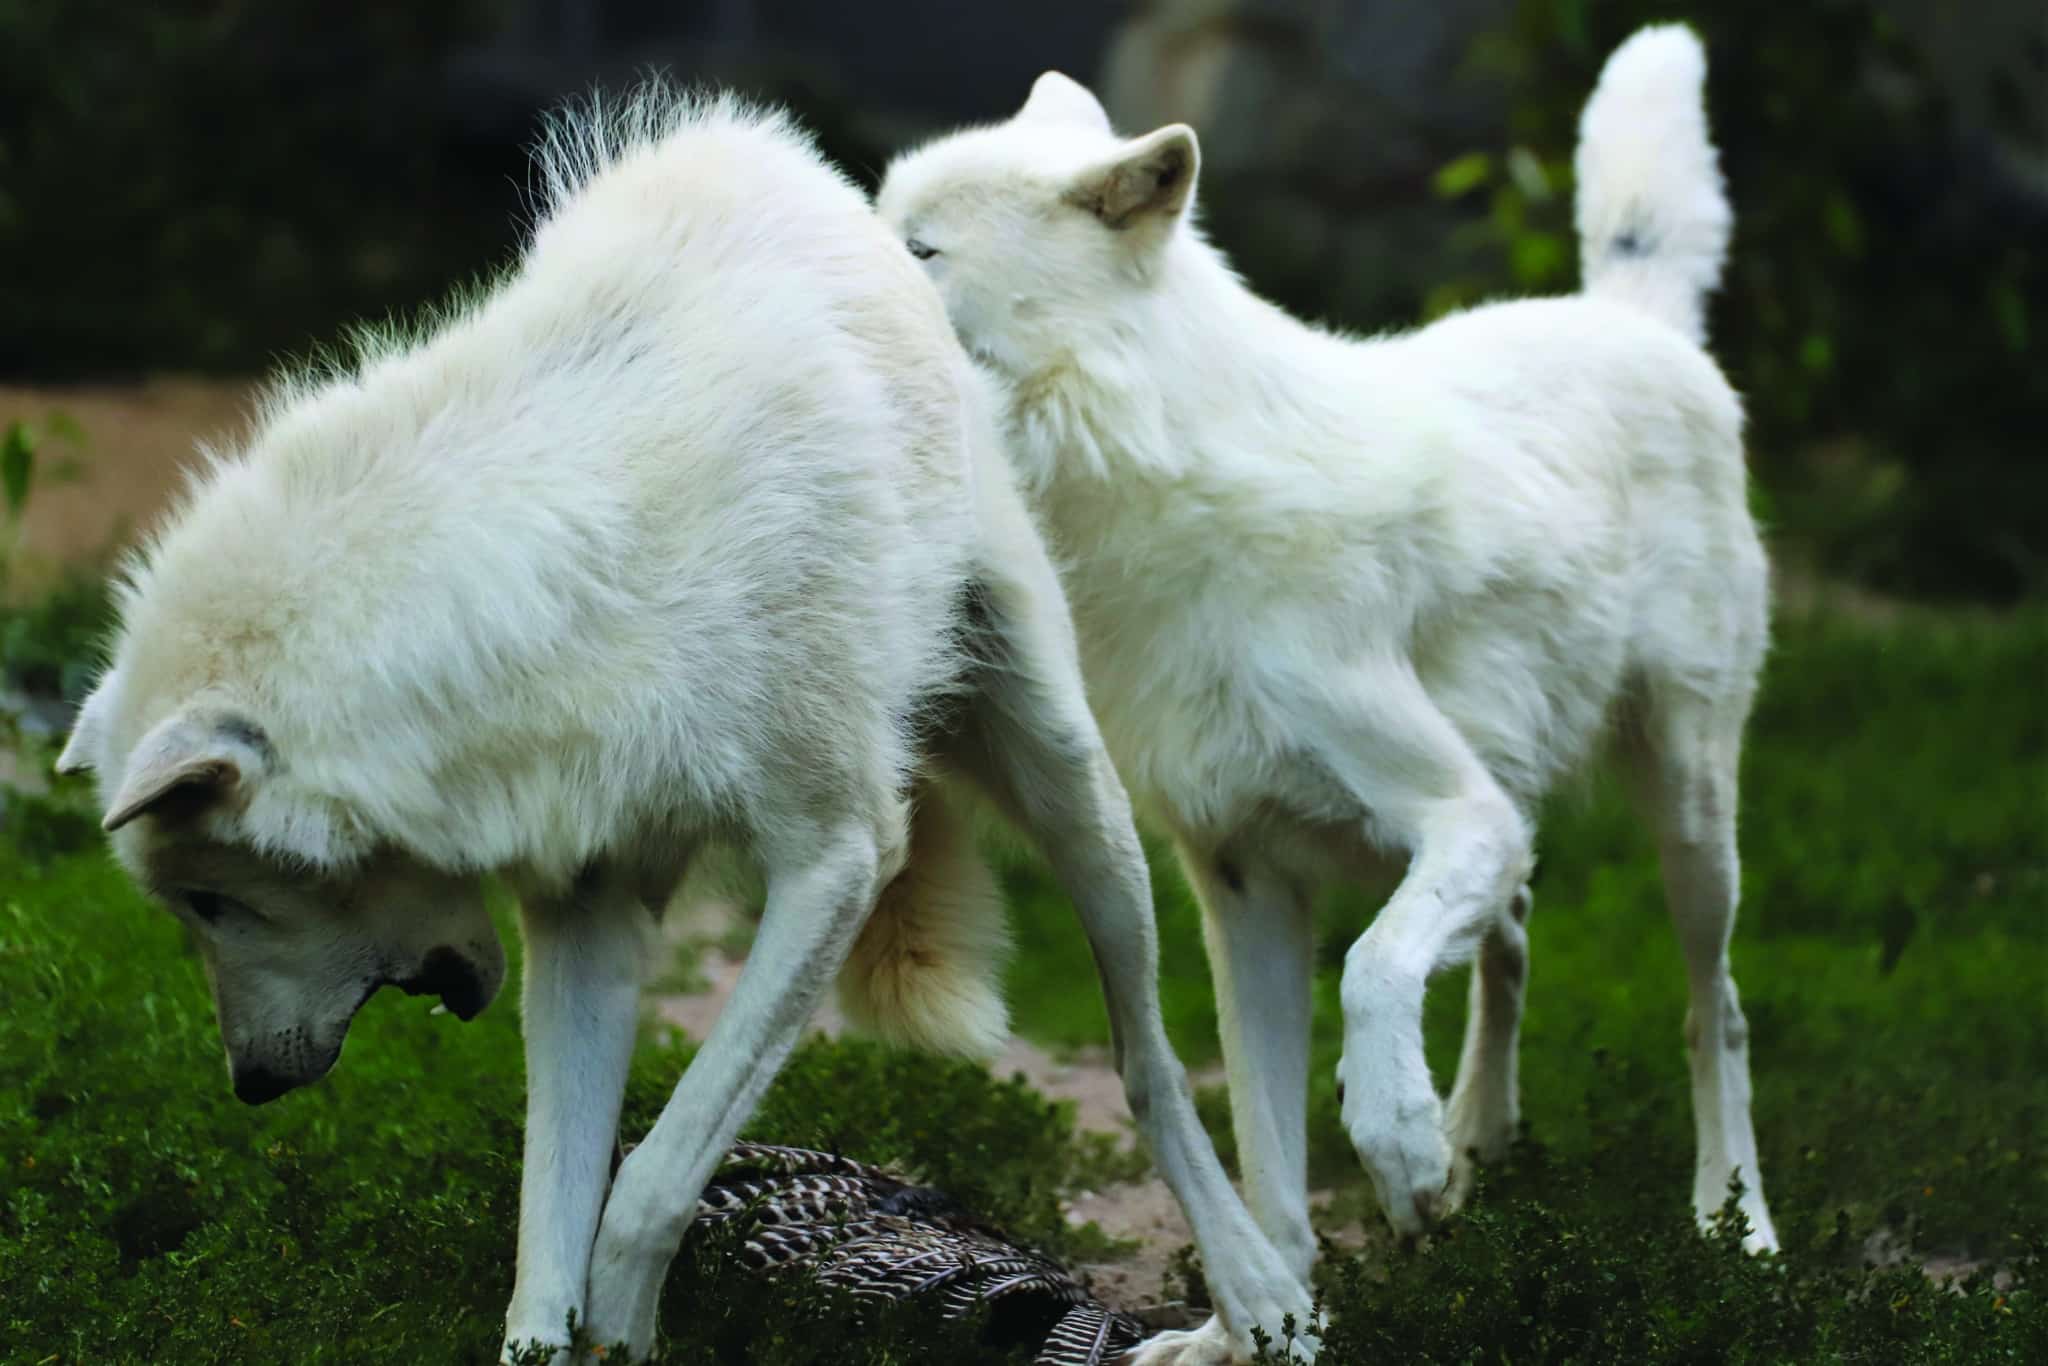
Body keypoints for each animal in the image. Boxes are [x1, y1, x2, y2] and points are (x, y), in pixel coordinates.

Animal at [56, 92, 1312, 1364]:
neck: (568, 582)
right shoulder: (584, 906)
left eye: (211, 900)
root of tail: (789, 168)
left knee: (1150, 1061)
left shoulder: (834, 857)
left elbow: (649, 1181)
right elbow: (551, 1207)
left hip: (1069, 791)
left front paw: (622, 1324)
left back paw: (1259, 1301)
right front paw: (556, 1334)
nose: (252, 1086)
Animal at [877, 24, 1779, 1274]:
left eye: (917, 249)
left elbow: (1372, 967)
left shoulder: (1453, 813)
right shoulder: (1241, 884)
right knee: (1514, 934)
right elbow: (1265, 1159)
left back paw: (1731, 1222)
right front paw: (1265, 1304)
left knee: (1716, 1009)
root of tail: (1632, 317)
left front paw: (1394, 1141)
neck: (1159, 496)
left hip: (1689, 814)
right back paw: (1478, 1139)